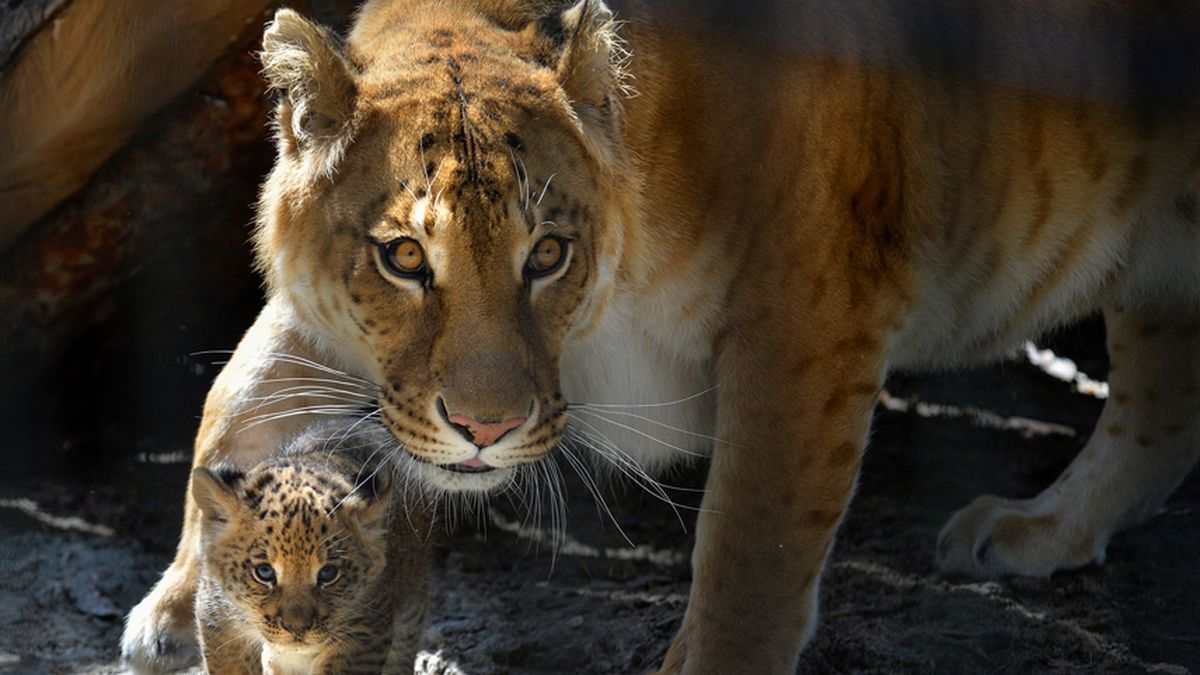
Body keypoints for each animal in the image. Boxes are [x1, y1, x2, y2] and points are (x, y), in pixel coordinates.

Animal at [123, 1, 1200, 672]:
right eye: (402, 257)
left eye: (548, 253)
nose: (484, 429)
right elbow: (235, 392)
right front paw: (185, 595)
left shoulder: (806, 311)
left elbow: (752, 549)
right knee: (1162, 410)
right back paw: (1042, 527)